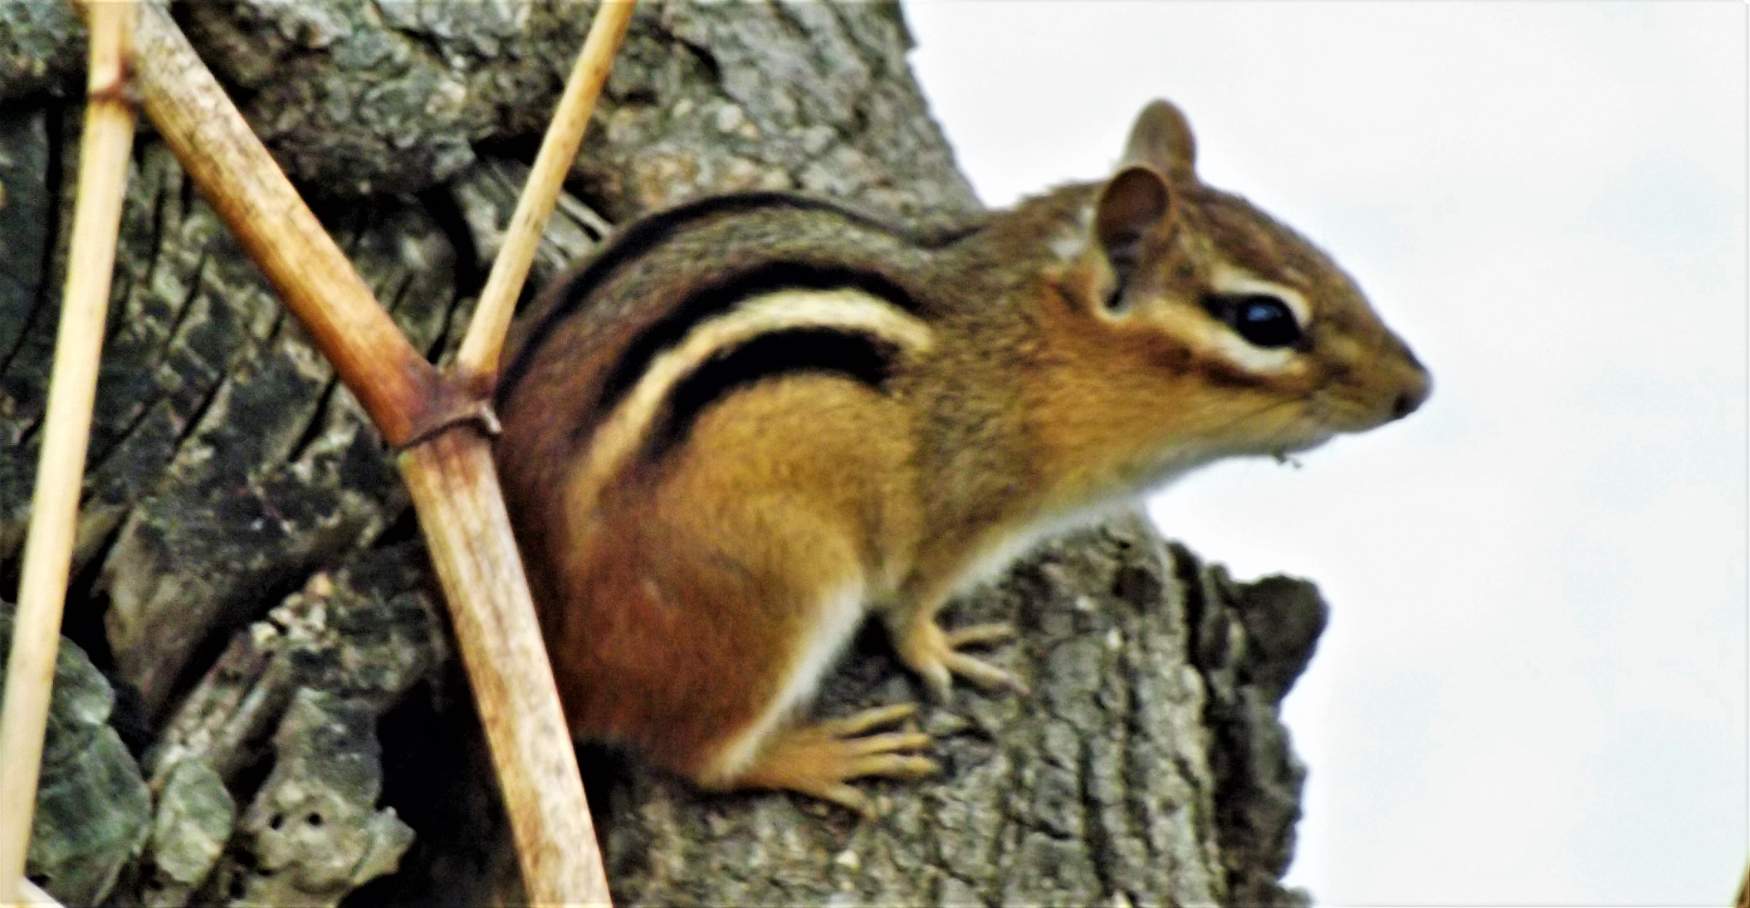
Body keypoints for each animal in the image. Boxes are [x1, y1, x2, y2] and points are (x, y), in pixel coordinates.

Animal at [494, 100, 1430, 813]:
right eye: (1265, 320)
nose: (1417, 390)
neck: (1024, 345)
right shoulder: (961, 510)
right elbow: (910, 605)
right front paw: (942, 651)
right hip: (770, 594)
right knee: (698, 753)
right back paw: (822, 756)